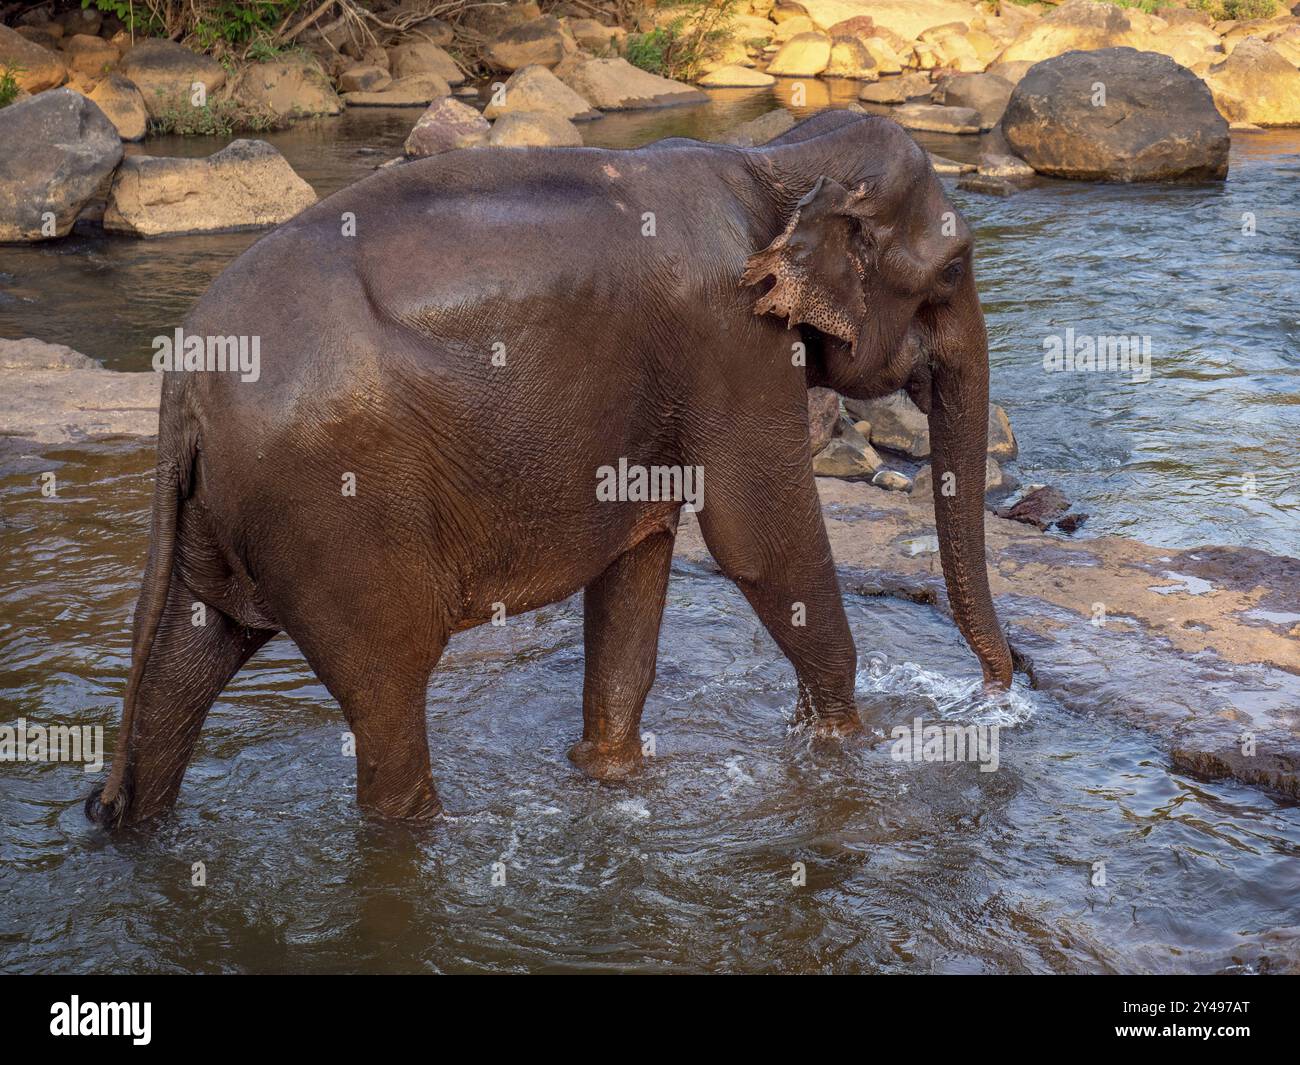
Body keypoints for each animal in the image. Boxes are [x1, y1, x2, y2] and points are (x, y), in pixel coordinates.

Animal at [85, 109, 1013, 828]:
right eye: (955, 268)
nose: (995, 691)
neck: (773, 160)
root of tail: (183, 382)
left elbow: (639, 561)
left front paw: (609, 774)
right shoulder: (732, 340)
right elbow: (757, 539)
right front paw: (854, 749)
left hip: (224, 510)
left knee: (183, 665)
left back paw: (133, 826)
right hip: (332, 513)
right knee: (386, 695)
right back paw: (423, 832)